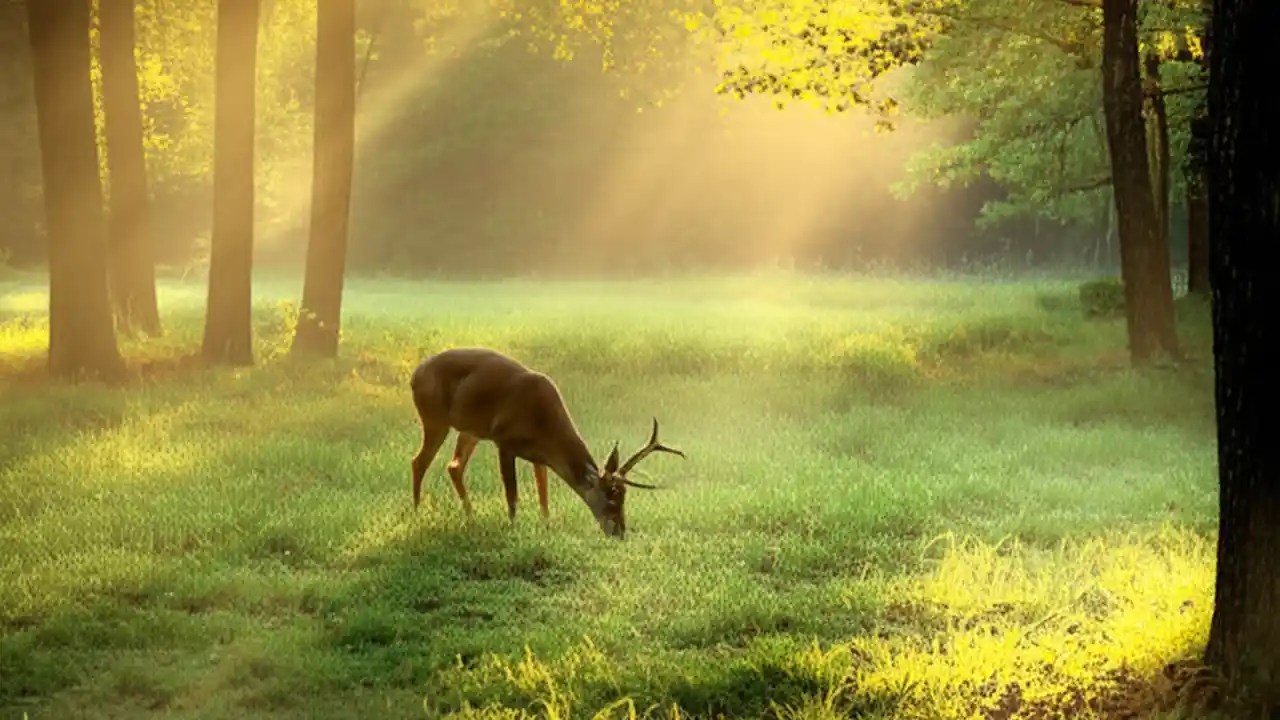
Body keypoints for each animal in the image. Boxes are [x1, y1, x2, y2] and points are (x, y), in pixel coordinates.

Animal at [408, 347, 685, 538]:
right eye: (611, 497)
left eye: (625, 496)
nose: (619, 532)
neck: (543, 421)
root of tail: (414, 374)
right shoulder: (503, 441)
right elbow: (513, 495)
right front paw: (513, 528)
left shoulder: (539, 457)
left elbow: (543, 493)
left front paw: (546, 526)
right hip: (434, 418)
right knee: (419, 462)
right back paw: (418, 513)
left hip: (470, 430)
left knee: (454, 466)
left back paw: (471, 517)